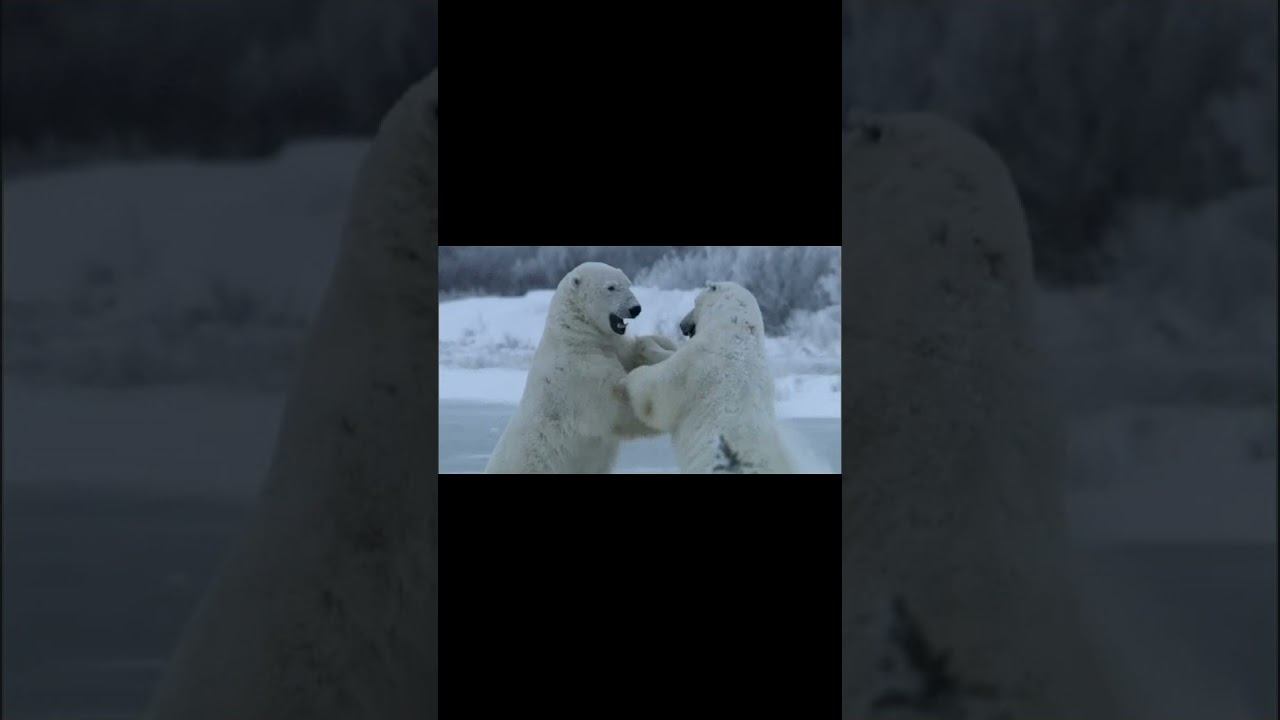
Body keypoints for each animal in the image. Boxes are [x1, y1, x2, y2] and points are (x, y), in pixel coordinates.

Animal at [483, 261, 677, 474]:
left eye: (628, 284)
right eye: (611, 287)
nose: (635, 308)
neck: (575, 335)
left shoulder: (614, 347)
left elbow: (635, 353)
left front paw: (662, 346)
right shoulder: (580, 373)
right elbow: (619, 408)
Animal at [621, 281, 795, 474]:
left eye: (694, 302)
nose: (682, 325)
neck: (738, 334)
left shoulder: (696, 363)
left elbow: (656, 392)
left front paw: (636, 361)